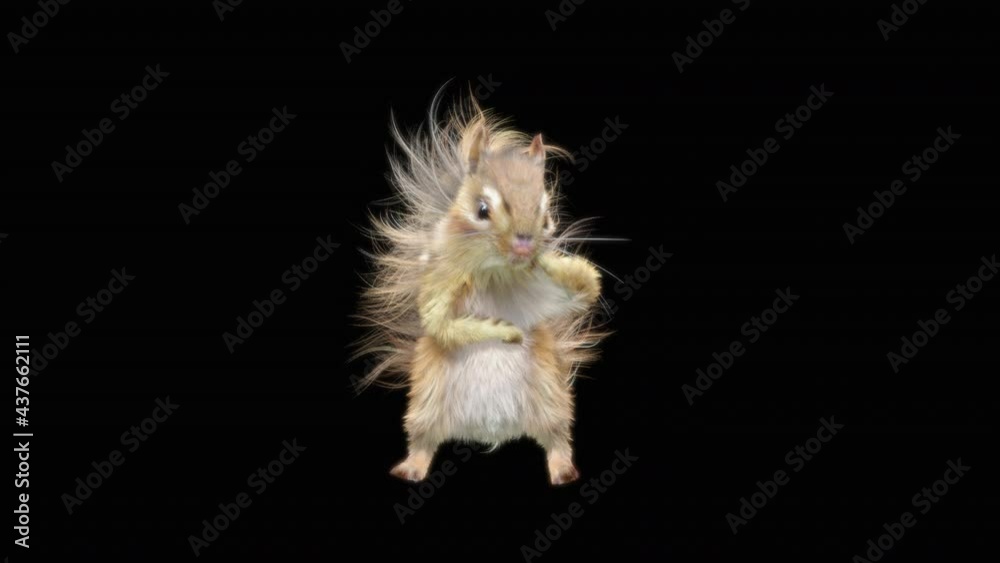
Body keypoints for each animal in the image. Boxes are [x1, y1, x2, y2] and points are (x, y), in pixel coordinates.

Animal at [355, 92, 607, 486]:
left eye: (546, 213)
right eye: (483, 209)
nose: (525, 246)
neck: (499, 273)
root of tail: (489, 431)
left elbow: (587, 289)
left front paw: (551, 262)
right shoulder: (439, 285)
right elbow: (442, 324)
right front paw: (504, 330)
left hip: (551, 396)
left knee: (557, 439)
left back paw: (563, 469)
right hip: (426, 402)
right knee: (422, 441)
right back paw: (411, 467)